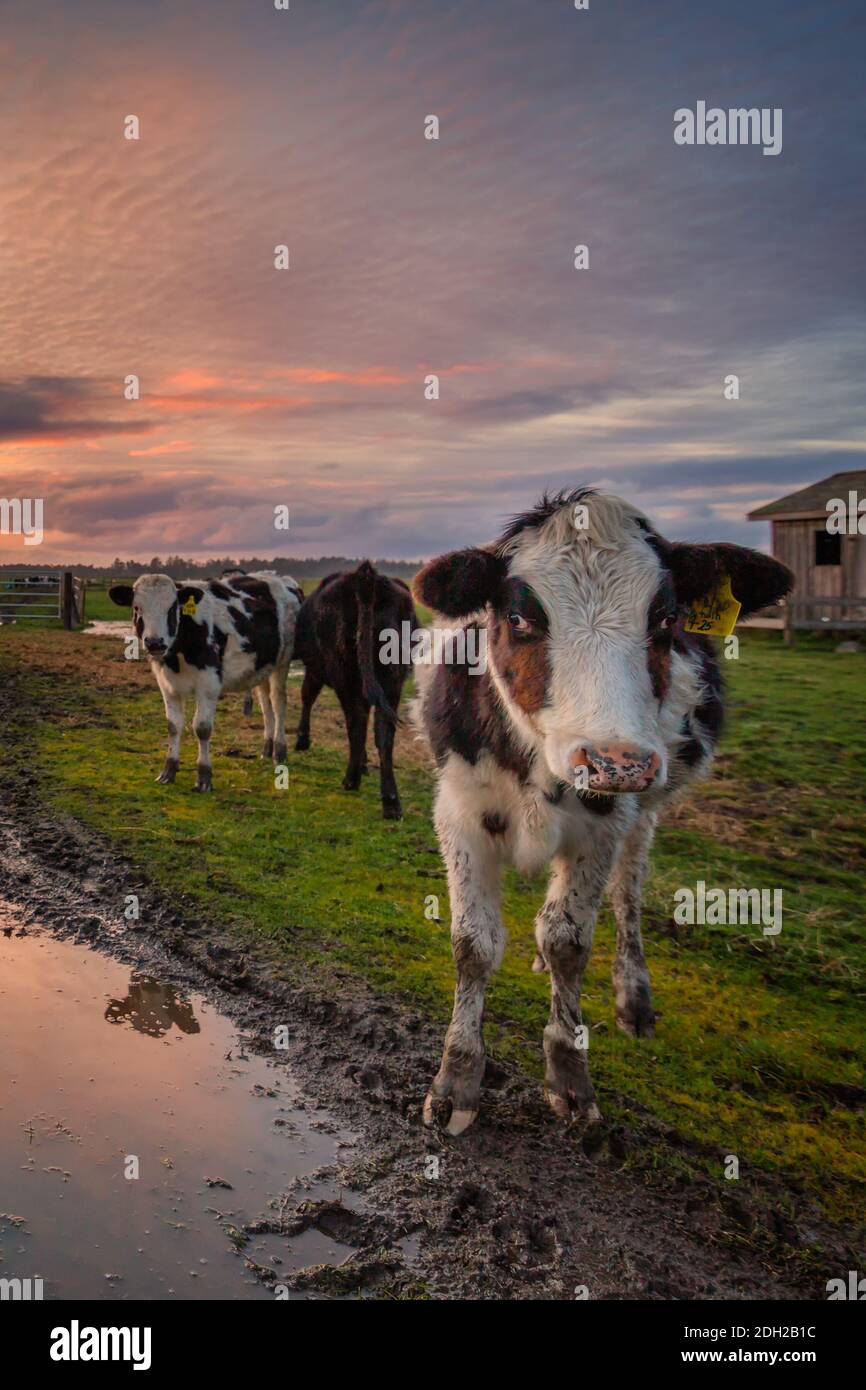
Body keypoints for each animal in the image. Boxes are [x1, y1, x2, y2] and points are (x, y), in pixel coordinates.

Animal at [108, 571, 303, 791]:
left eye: (172, 608)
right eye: (137, 608)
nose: (155, 643)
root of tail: (281, 578)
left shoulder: (209, 683)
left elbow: (201, 728)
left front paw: (204, 777)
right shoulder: (167, 685)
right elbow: (173, 726)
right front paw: (168, 771)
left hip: (282, 662)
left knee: (278, 702)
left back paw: (280, 751)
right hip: (262, 665)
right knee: (265, 703)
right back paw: (267, 749)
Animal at [293, 561, 418, 819]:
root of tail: (365, 579)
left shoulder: (315, 670)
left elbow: (307, 695)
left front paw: (302, 739)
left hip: (343, 674)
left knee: (356, 722)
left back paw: (351, 779)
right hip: (393, 679)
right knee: (383, 732)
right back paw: (391, 801)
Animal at [411, 489, 793, 1135]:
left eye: (665, 620)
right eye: (521, 618)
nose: (615, 762)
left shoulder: (605, 825)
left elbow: (569, 938)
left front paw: (569, 1076)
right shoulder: (460, 811)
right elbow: (474, 943)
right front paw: (456, 1080)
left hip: (644, 814)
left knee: (627, 892)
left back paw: (633, 996)